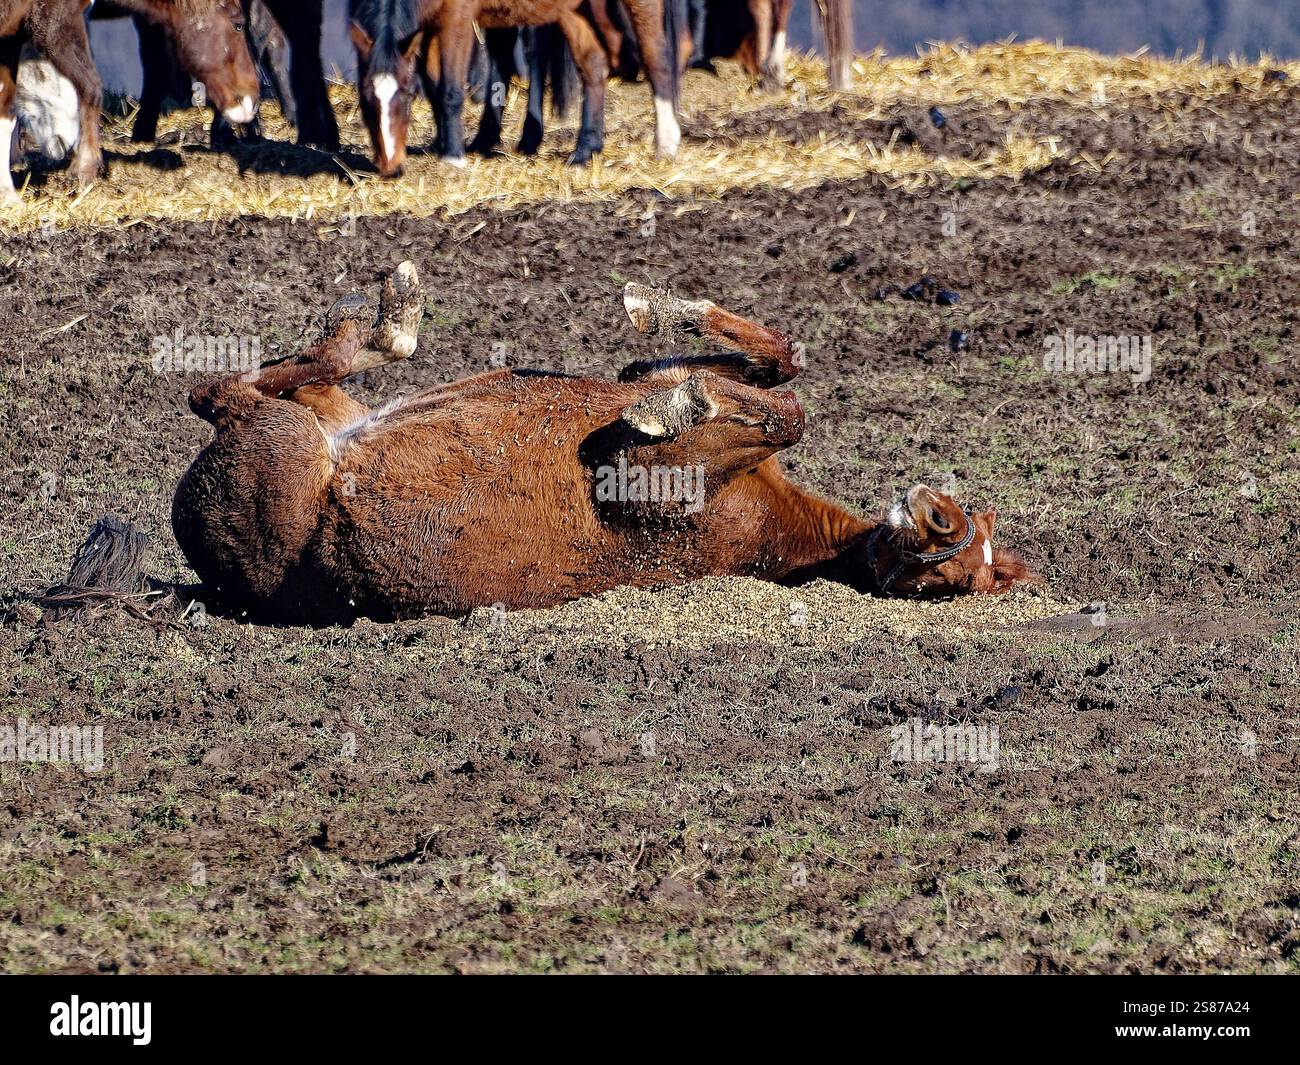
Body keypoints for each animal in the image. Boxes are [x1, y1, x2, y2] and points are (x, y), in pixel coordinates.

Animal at [171, 264, 1036, 624]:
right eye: (969, 548)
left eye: (950, 581)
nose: (937, 514)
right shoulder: (648, 382)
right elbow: (777, 369)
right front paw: (662, 313)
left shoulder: (638, 473)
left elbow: (782, 410)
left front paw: (681, 401)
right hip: (323, 411)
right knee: (269, 379)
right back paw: (386, 313)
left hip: (285, 444)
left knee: (222, 393)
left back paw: (393, 316)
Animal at [347, 0, 681, 175]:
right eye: (364, 101)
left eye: (406, 97)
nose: (389, 166)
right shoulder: (430, 23)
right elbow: (433, 86)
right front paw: (443, 143)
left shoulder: (456, 17)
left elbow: (450, 90)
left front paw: (454, 156)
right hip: (578, 8)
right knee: (594, 64)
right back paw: (585, 150)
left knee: (657, 58)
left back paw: (666, 144)